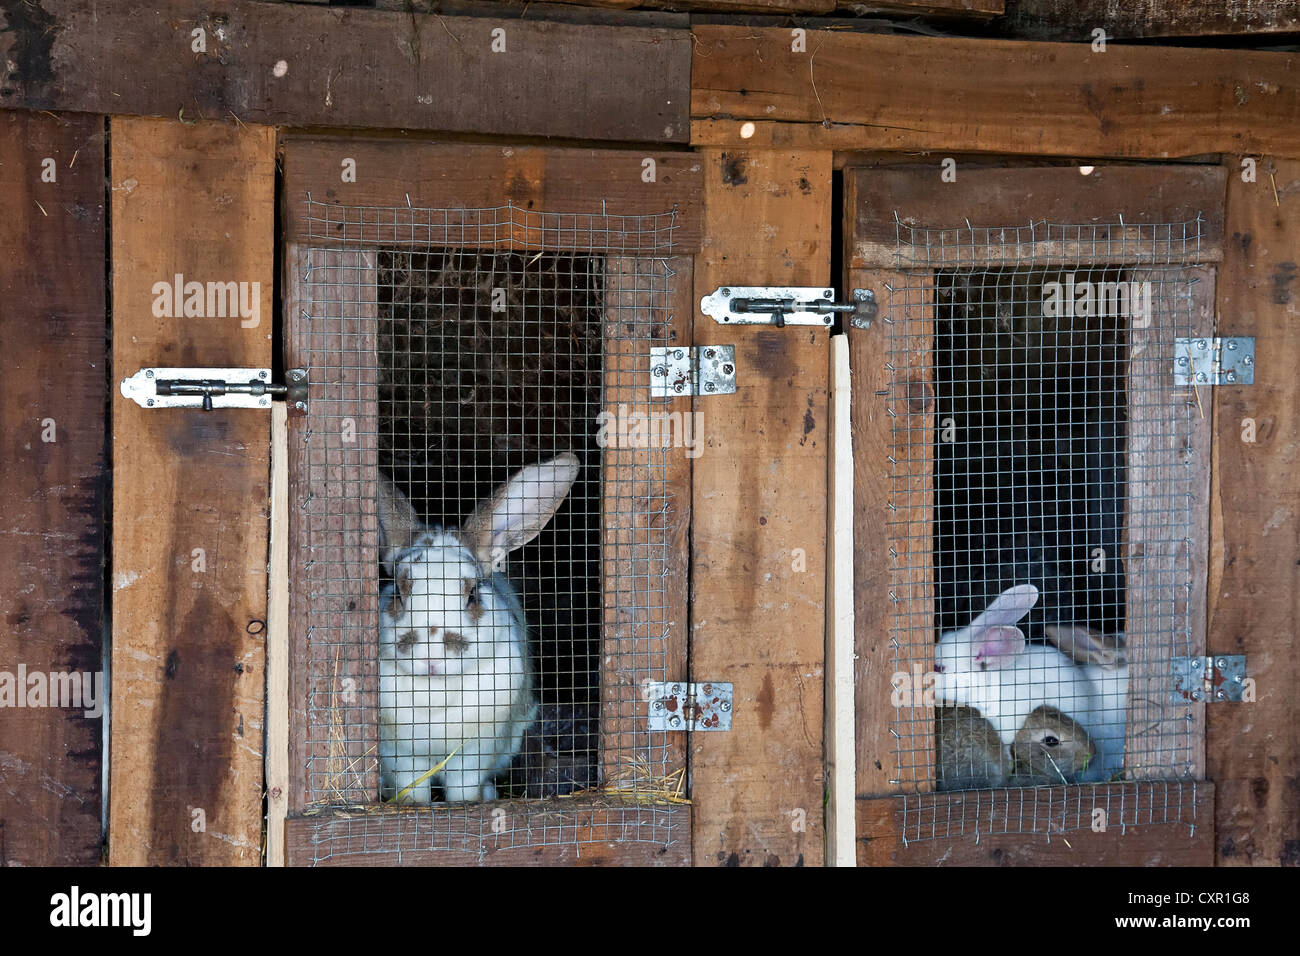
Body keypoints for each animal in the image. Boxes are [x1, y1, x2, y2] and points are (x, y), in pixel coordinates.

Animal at [377, 452, 579, 806]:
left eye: (471, 594)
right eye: (399, 593)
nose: (431, 657)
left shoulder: (474, 754)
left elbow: (464, 789)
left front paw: (468, 804)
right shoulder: (401, 756)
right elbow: (412, 791)